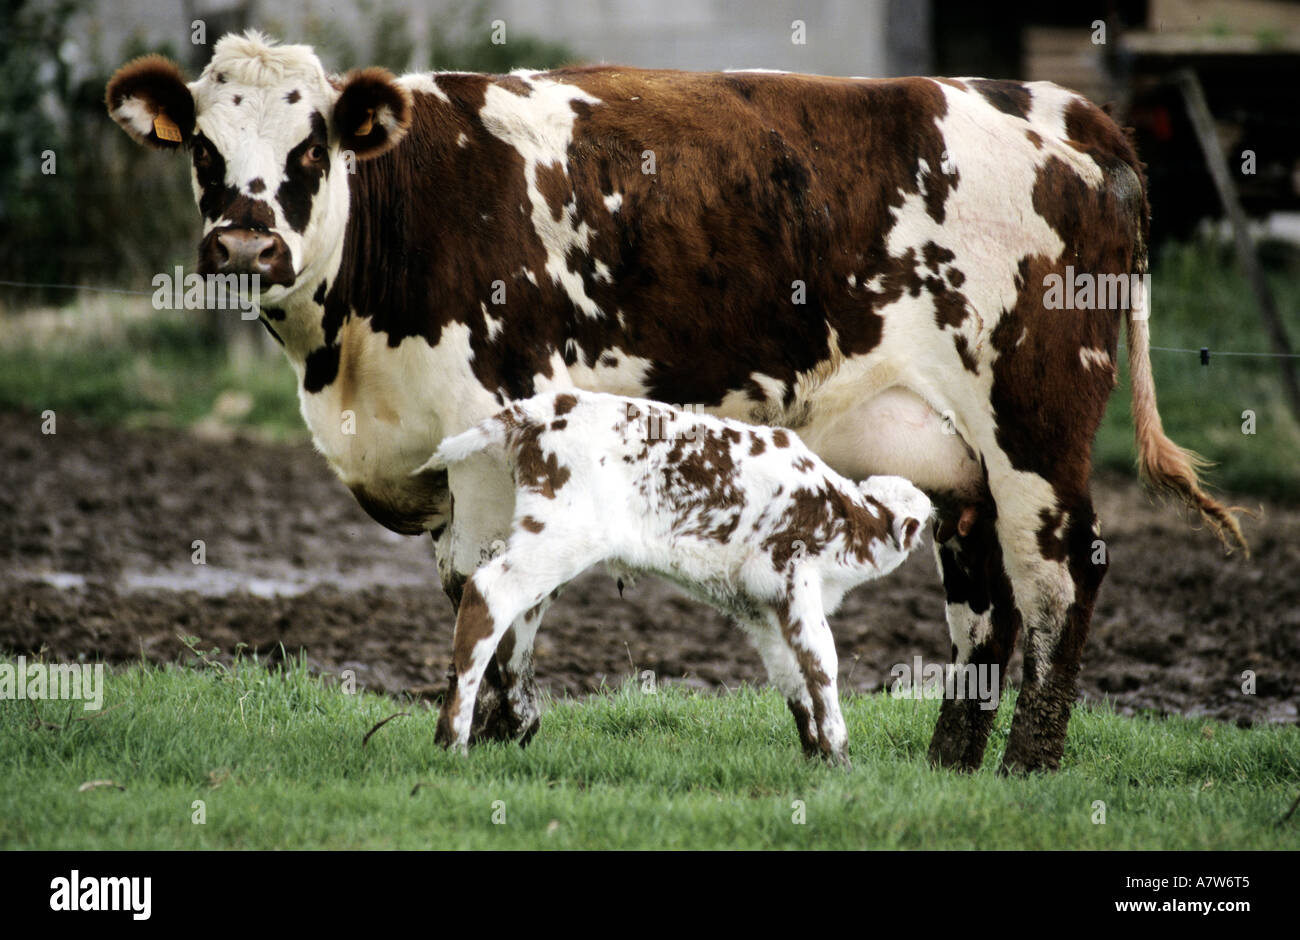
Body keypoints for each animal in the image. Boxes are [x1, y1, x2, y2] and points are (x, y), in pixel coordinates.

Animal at [422, 390, 932, 764]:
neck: (844, 515)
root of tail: (543, 407)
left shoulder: (760, 607)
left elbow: (789, 675)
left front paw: (816, 753)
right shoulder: (793, 578)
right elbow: (822, 663)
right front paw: (840, 754)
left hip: (543, 542)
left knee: (517, 625)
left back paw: (513, 728)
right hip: (562, 537)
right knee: (488, 595)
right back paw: (453, 741)